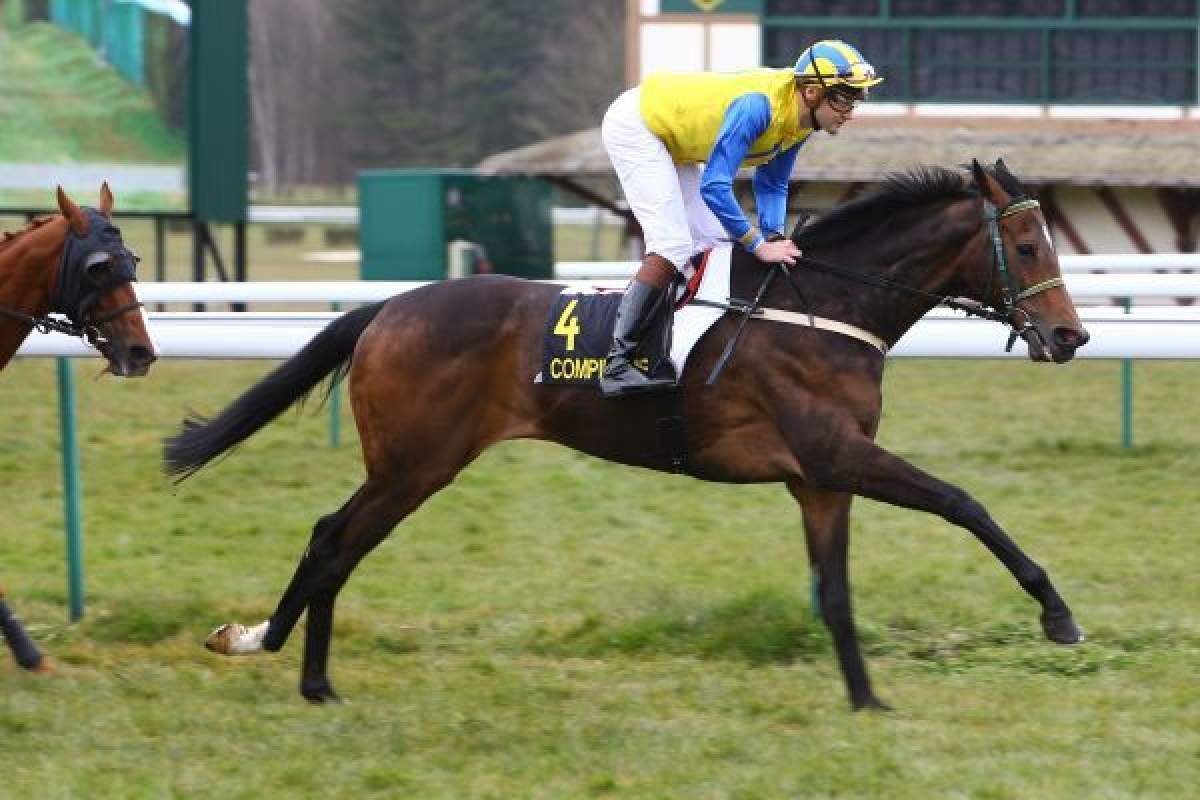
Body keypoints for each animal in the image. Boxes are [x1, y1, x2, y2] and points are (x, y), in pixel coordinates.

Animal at [164, 159, 1089, 710]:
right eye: (1025, 242)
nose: (1072, 337)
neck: (826, 307)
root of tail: (387, 308)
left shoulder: (820, 477)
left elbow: (835, 591)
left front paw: (866, 701)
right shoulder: (838, 453)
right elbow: (962, 502)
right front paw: (1057, 614)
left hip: (410, 466)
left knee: (338, 542)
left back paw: (296, 665)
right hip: (414, 465)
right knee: (333, 539)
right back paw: (279, 655)